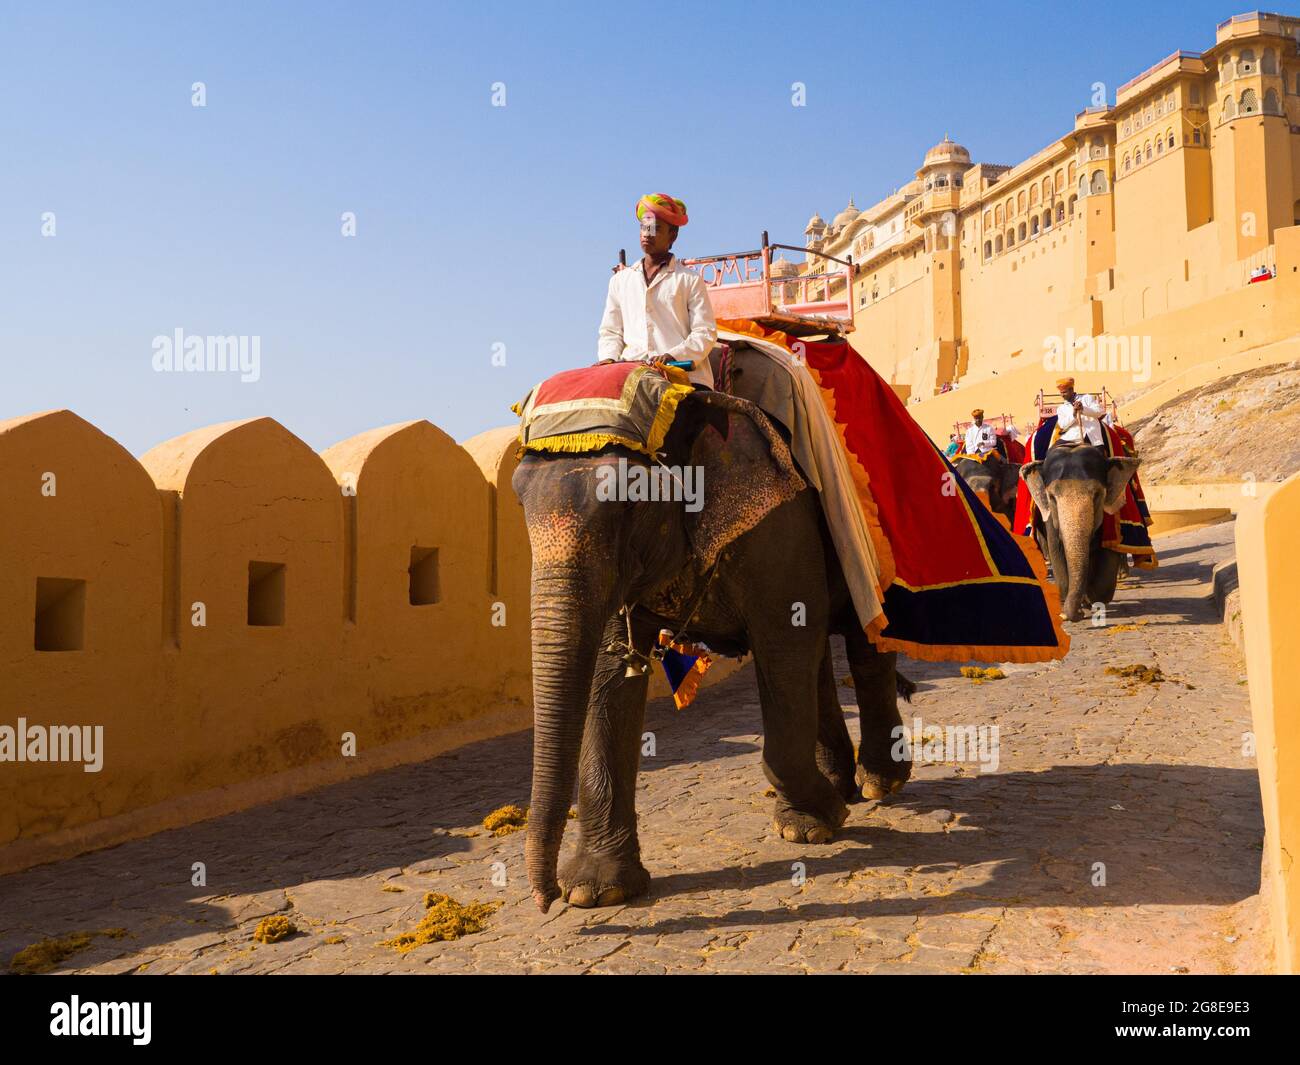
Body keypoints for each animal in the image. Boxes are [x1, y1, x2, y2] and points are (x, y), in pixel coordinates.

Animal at [511, 388, 912, 912]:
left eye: (629, 503)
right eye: (518, 499)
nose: (545, 900)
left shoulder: (778, 523)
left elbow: (784, 642)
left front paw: (814, 824)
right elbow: (608, 670)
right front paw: (596, 892)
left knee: (866, 642)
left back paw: (878, 784)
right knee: (821, 659)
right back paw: (842, 787)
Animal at [1019, 443, 1140, 622]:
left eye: (1097, 495)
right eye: (1052, 497)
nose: (1077, 614)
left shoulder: (1110, 516)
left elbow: (1108, 556)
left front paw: (1089, 601)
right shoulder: (1050, 519)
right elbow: (1056, 551)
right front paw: (1073, 608)